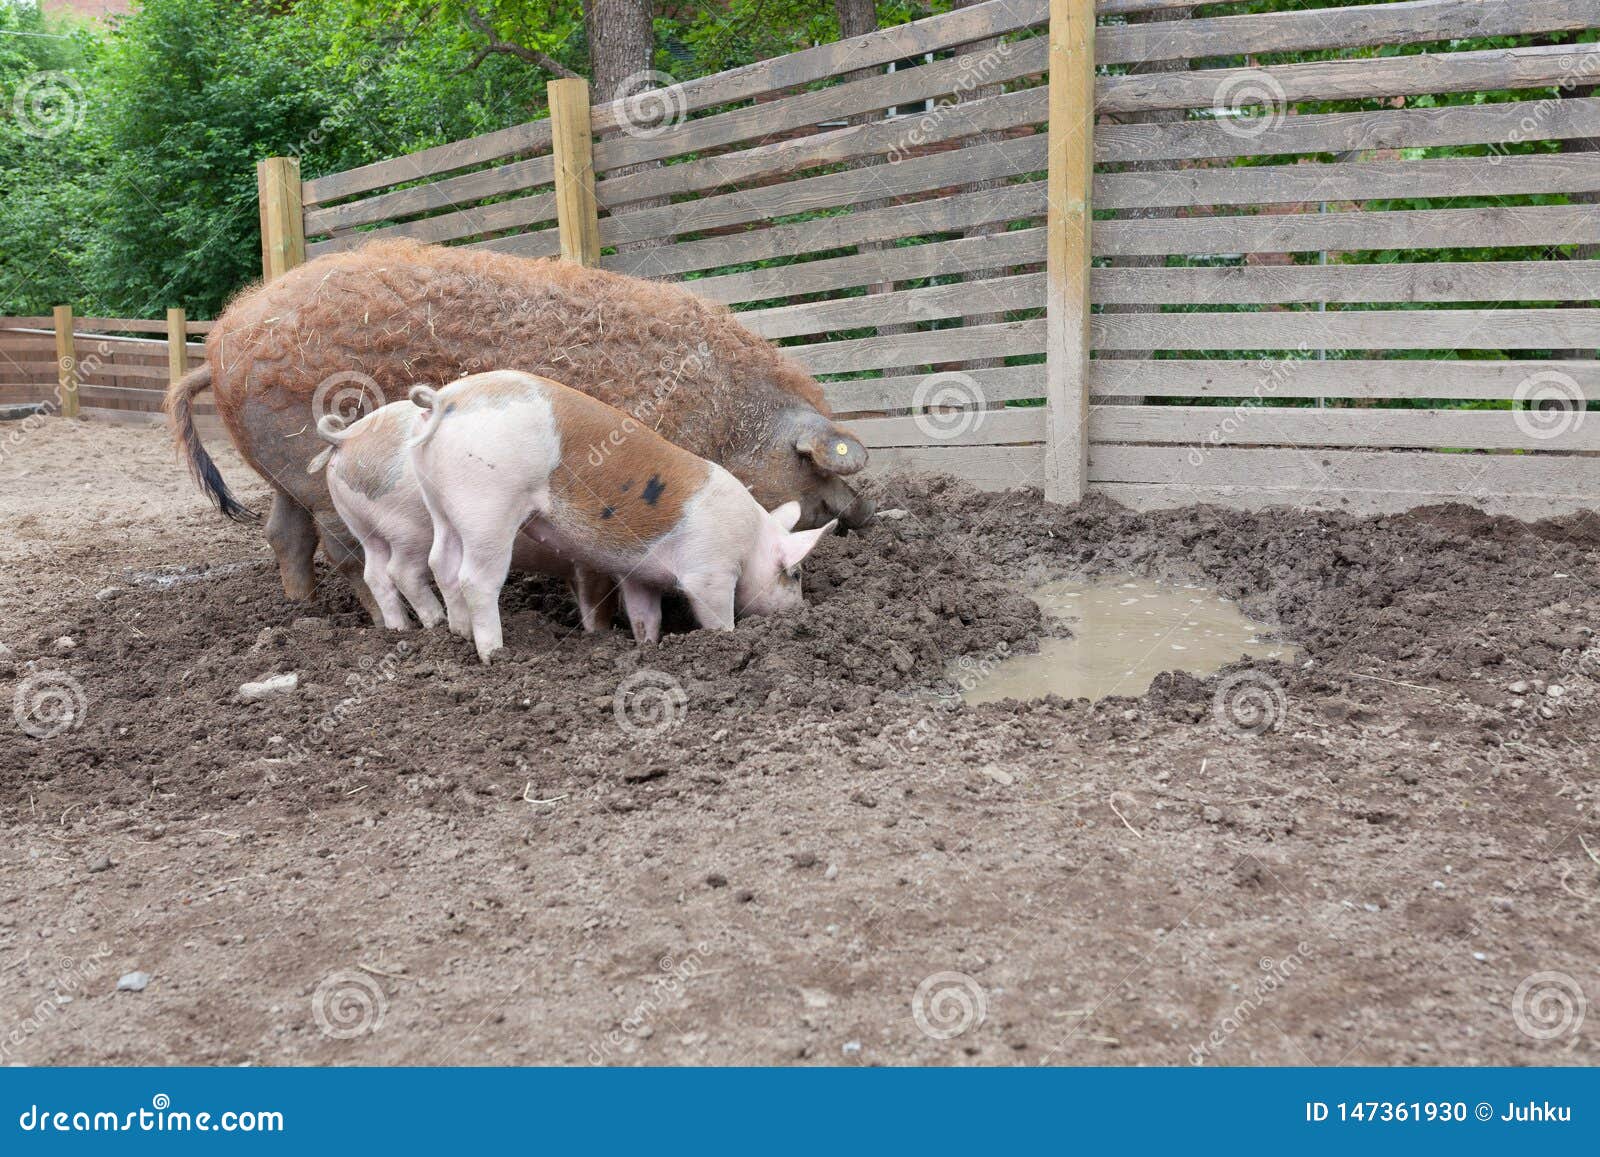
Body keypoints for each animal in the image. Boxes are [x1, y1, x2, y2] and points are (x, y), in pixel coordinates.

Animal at [309, 398, 622, 635]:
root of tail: (346, 437)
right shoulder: (592, 565)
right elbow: (596, 602)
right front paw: (600, 634)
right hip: (406, 529)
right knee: (401, 572)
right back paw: (435, 623)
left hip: (362, 525)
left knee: (375, 574)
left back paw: (400, 629)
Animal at [407, 370, 835, 664]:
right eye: (795, 574)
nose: (801, 612)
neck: (752, 539)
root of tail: (445, 399)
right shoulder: (710, 570)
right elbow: (717, 614)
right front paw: (727, 641)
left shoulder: (638, 574)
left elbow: (647, 616)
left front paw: (647, 647)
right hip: (488, 505)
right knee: (475, 578)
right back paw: (494, 654)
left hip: (439, 502)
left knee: (440, 563)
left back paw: (458, 635)